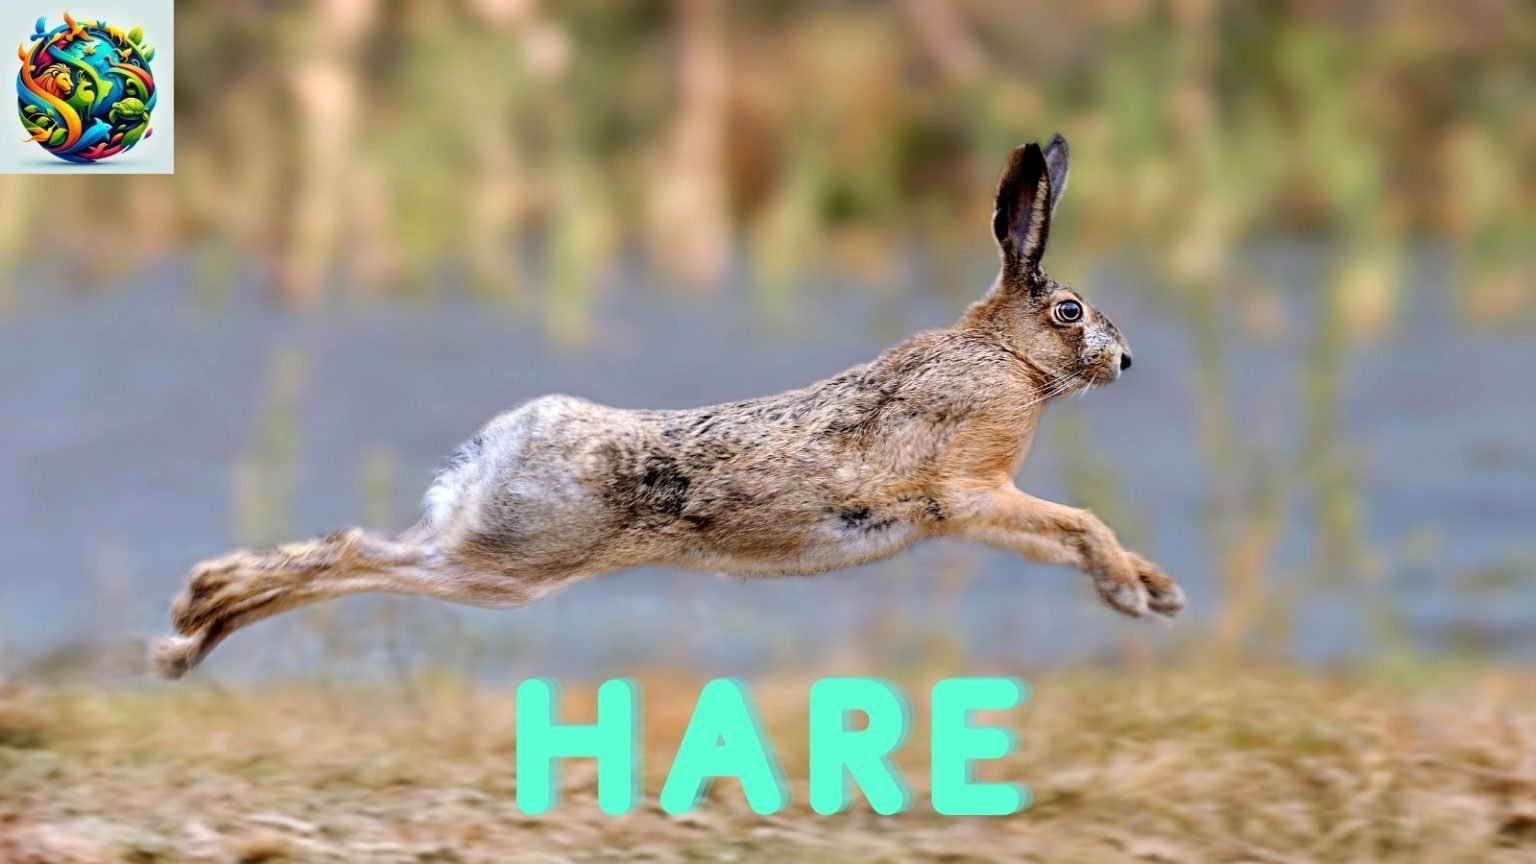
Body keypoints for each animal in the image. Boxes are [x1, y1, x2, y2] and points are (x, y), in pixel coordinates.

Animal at [155, 134, 1184, 679]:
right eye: (1069, 312)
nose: (1128, 359)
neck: (1001, 354)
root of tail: (498, 446)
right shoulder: (967, 490)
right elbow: (1078, 523)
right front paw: (1134, 593)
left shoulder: (976, 508)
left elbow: (1067, 534)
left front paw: (1157, 590)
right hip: (508, 563)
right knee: (363, 557)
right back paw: (193, 624)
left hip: (496, 555)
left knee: (362, 554)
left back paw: (197, 623)